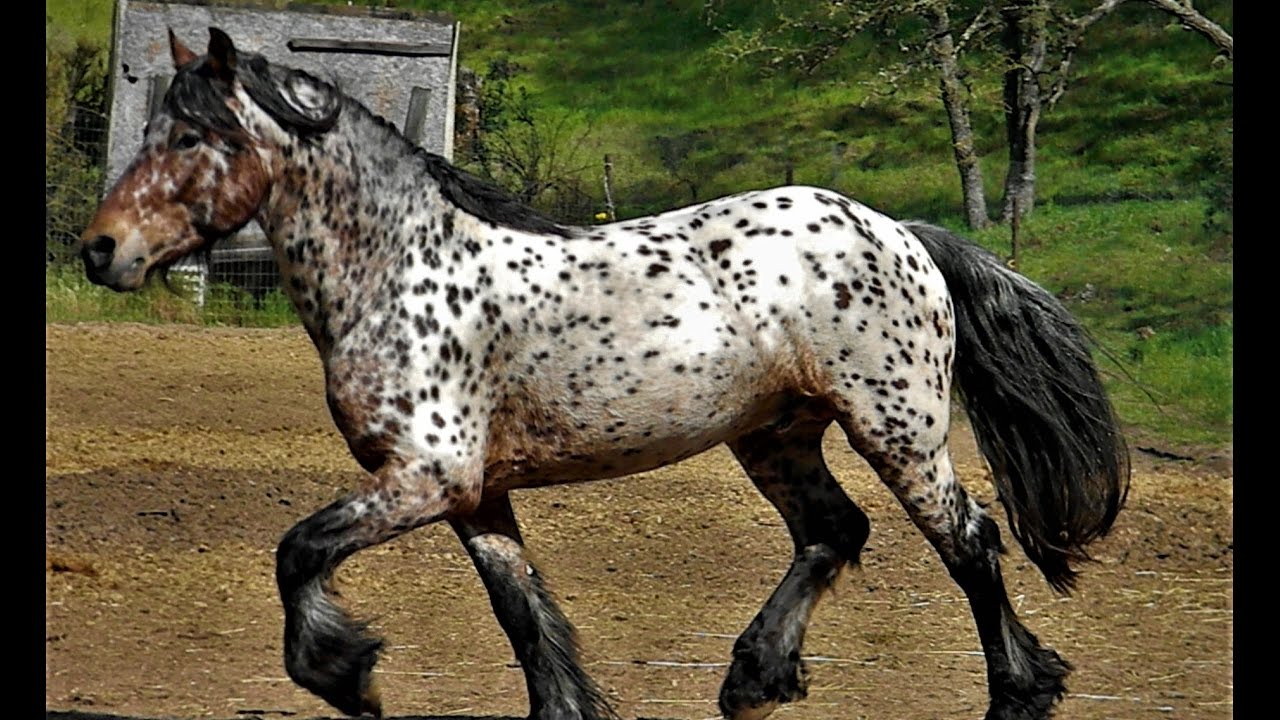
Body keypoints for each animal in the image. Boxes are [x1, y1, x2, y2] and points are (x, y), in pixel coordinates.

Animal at [78, 28, 1129, 720]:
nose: (100, 250)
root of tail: (901, 232)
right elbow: (524, 619)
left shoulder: (426, 477)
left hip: (897, 427)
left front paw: (347, 674)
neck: (398, 270)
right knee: (835, 532)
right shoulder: (474, 494)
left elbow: (298, 550)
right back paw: (753, 680)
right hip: (776, 433)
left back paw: (1017, 694)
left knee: (969, 542)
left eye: (190, 138)